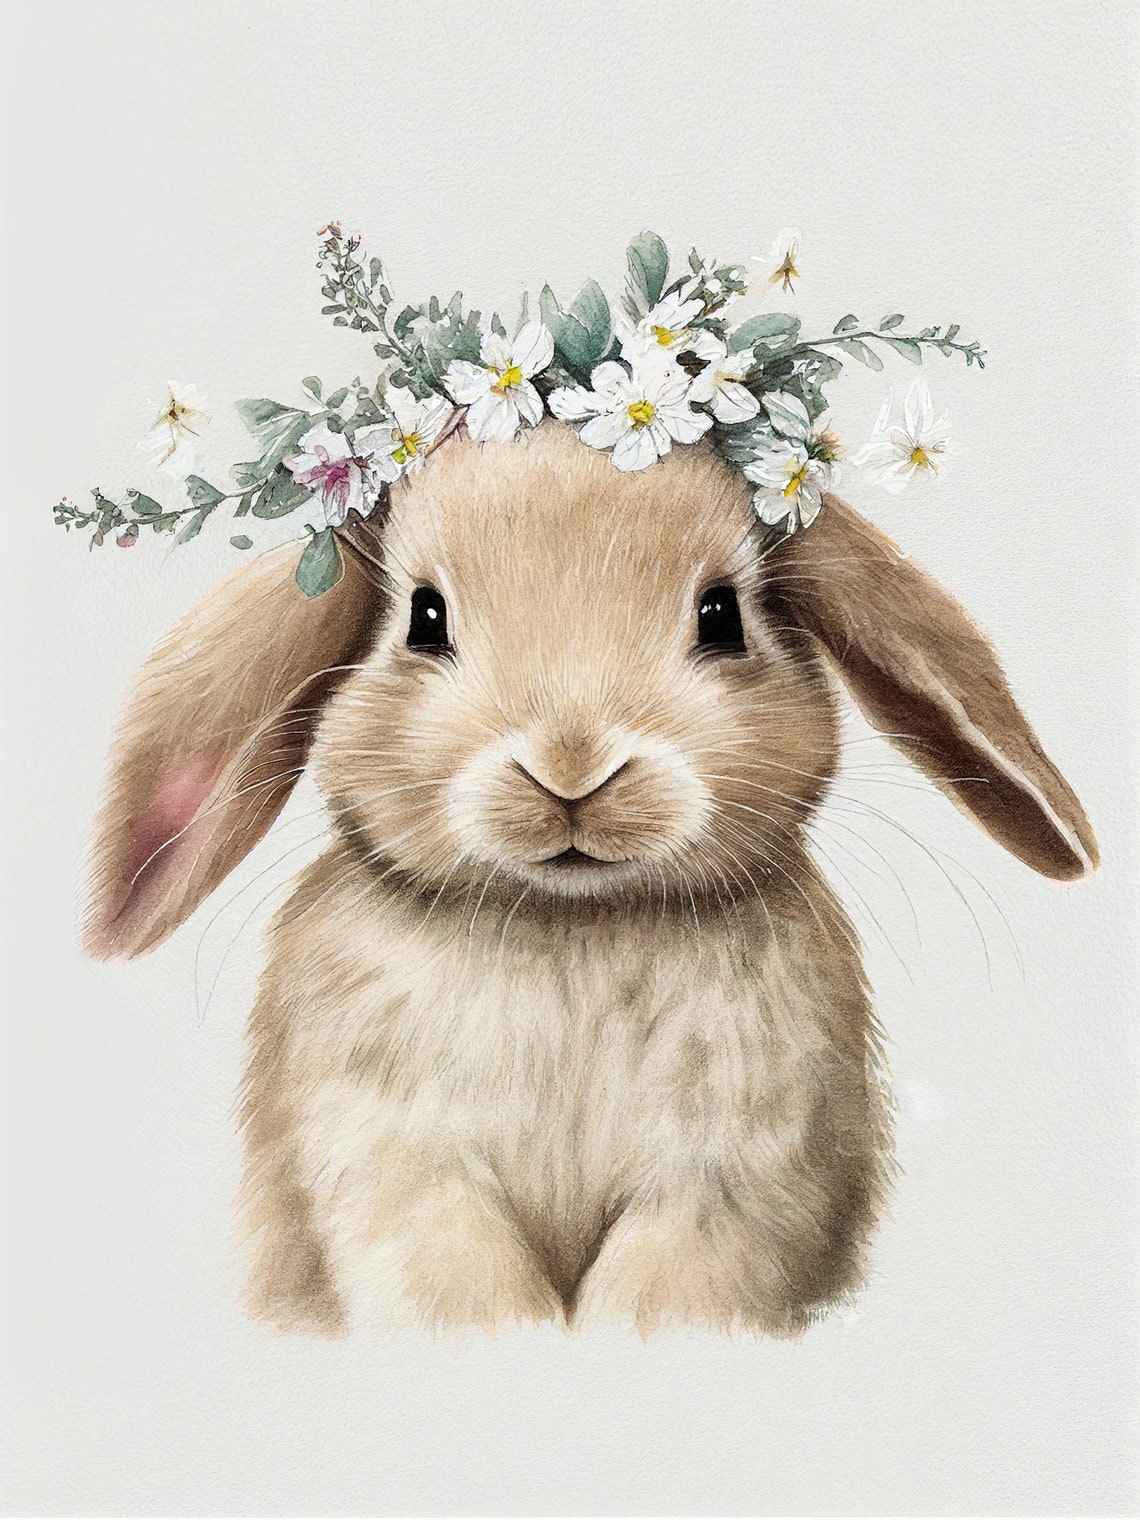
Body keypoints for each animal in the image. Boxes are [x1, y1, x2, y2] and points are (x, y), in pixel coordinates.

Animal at [82, 420, 1098, 1338]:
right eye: (424, 617)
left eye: (722, 615)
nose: (572, 767)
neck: (571, 927)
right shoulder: (392, 1161)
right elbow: (460, 1287)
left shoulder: (731, 1175)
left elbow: (665, 1294)